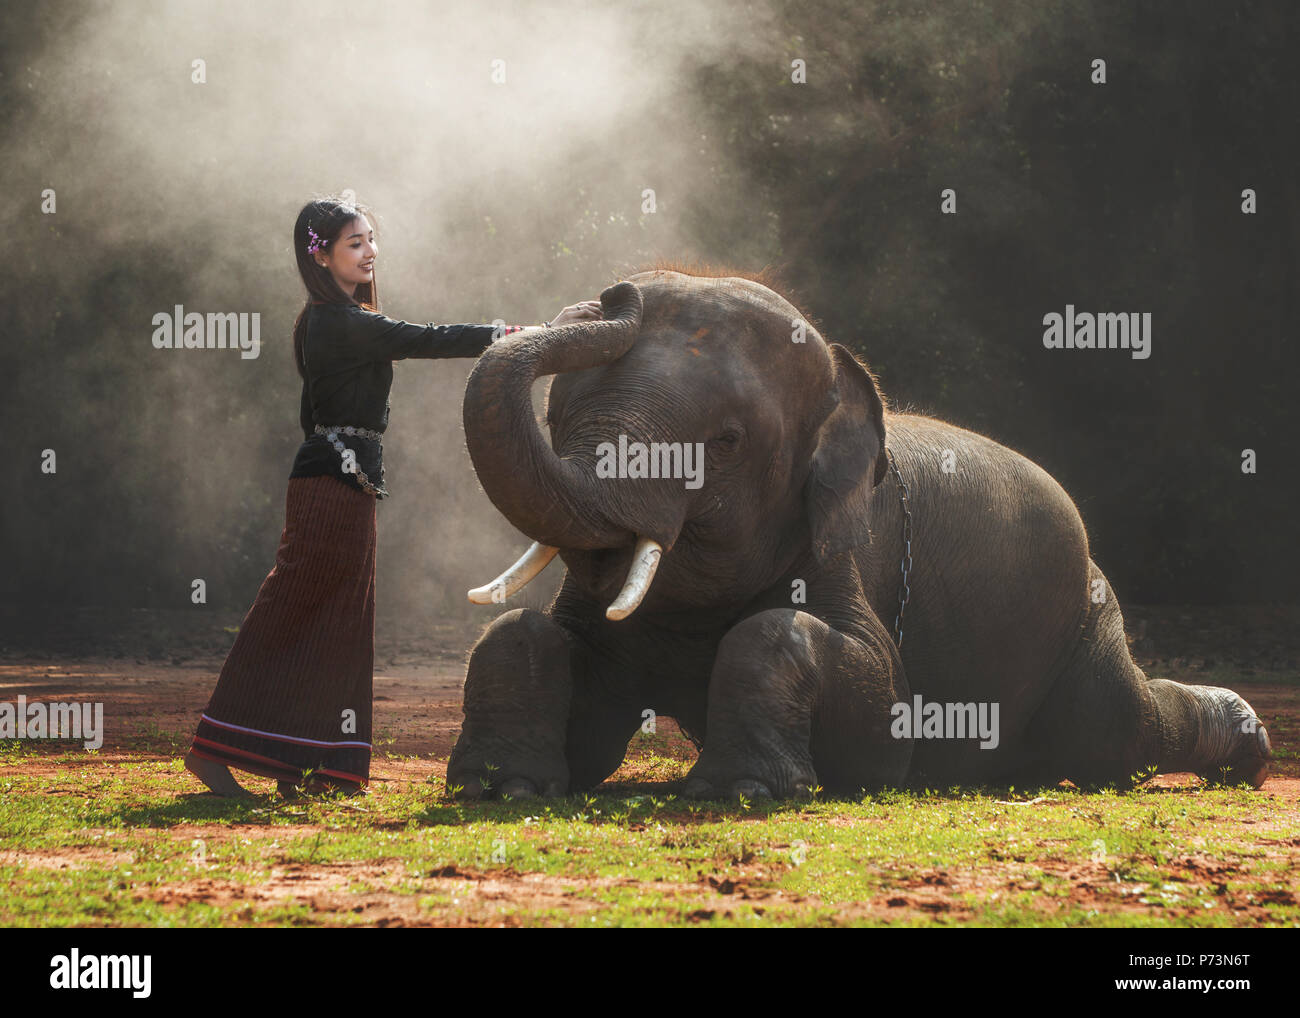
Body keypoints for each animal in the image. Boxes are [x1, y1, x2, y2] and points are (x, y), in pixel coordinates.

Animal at [445, 269, 1271, 800]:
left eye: (726, 442)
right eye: (557, 419)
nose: (617, 296)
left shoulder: (843, 551)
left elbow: (880, 729)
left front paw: (742, 792)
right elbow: (536, 657)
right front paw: (501, 789)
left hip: (1086, 613)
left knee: (1114, 737)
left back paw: (1250, 747)